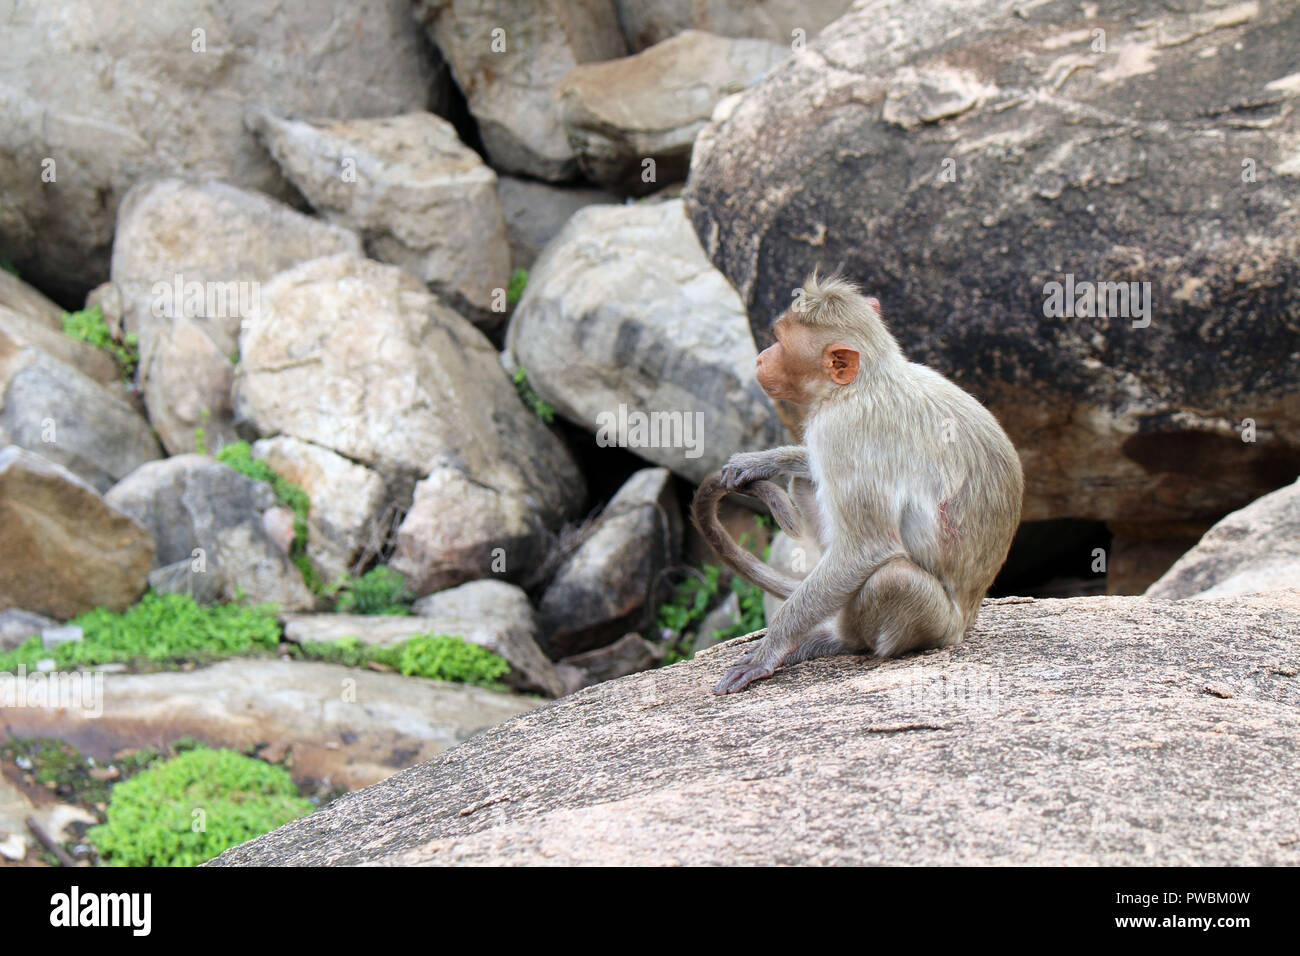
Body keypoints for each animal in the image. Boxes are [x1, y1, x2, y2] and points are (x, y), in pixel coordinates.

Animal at [692, 271, 1023, 694]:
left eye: (781, 342)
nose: (761, 356)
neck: (868, 381)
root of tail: (965, 623)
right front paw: (761, 461)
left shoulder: (842, 428)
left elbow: (867, 549)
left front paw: (769, 649)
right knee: (804, 485)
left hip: (936, 624)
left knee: (891, 579)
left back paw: (840, 641)